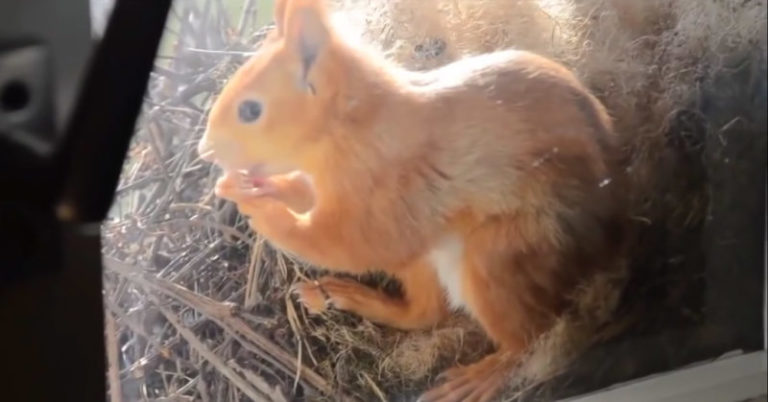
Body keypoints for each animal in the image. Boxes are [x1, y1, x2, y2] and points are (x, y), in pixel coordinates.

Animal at [197, 0, 629, 400]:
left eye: (250, 110)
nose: (205, 151)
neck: (352, 126)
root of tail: (607, 249)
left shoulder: (386, 191)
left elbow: (344, 243)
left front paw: (256, 206)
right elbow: (306, 195)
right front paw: (264, 188)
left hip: (498, 261)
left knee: (529, 339)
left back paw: (483, 376)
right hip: (428, 263)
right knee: (425, 314)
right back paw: (349, 296)